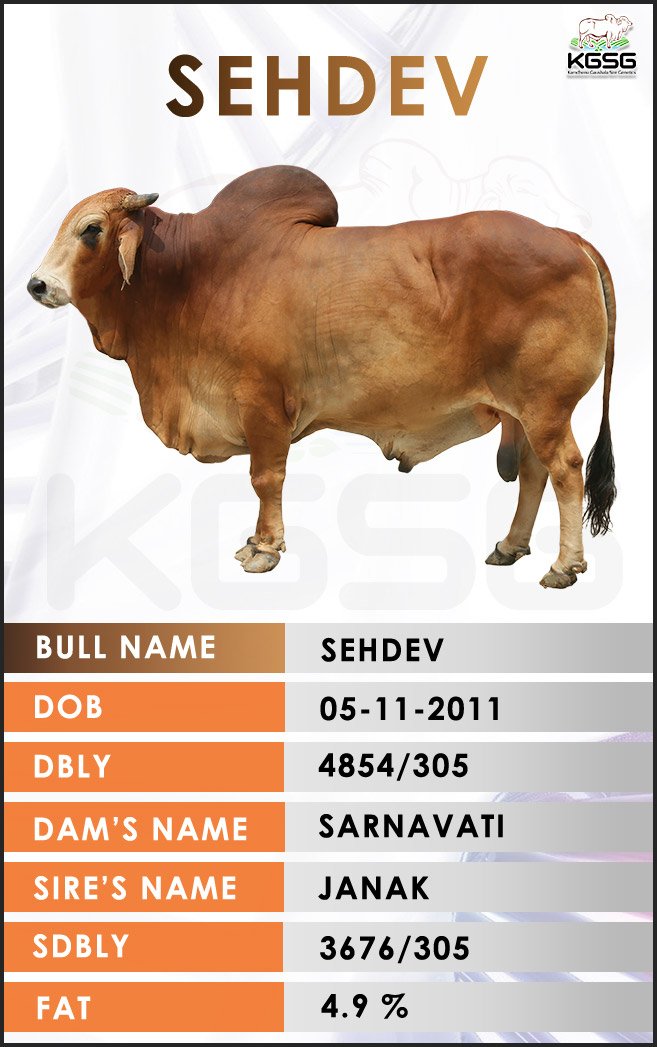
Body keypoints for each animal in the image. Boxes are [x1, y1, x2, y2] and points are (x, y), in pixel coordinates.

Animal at [27, 165, 616, 588]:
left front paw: (263, 549)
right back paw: (510, 546)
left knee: (566, 469)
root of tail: (565, 236)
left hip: (546, 406)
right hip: (526, 409)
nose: (37, 285)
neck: (190, 276)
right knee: (535, 472)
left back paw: (564, 566)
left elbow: (265, 478)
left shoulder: (263, 406)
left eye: (91, 230)